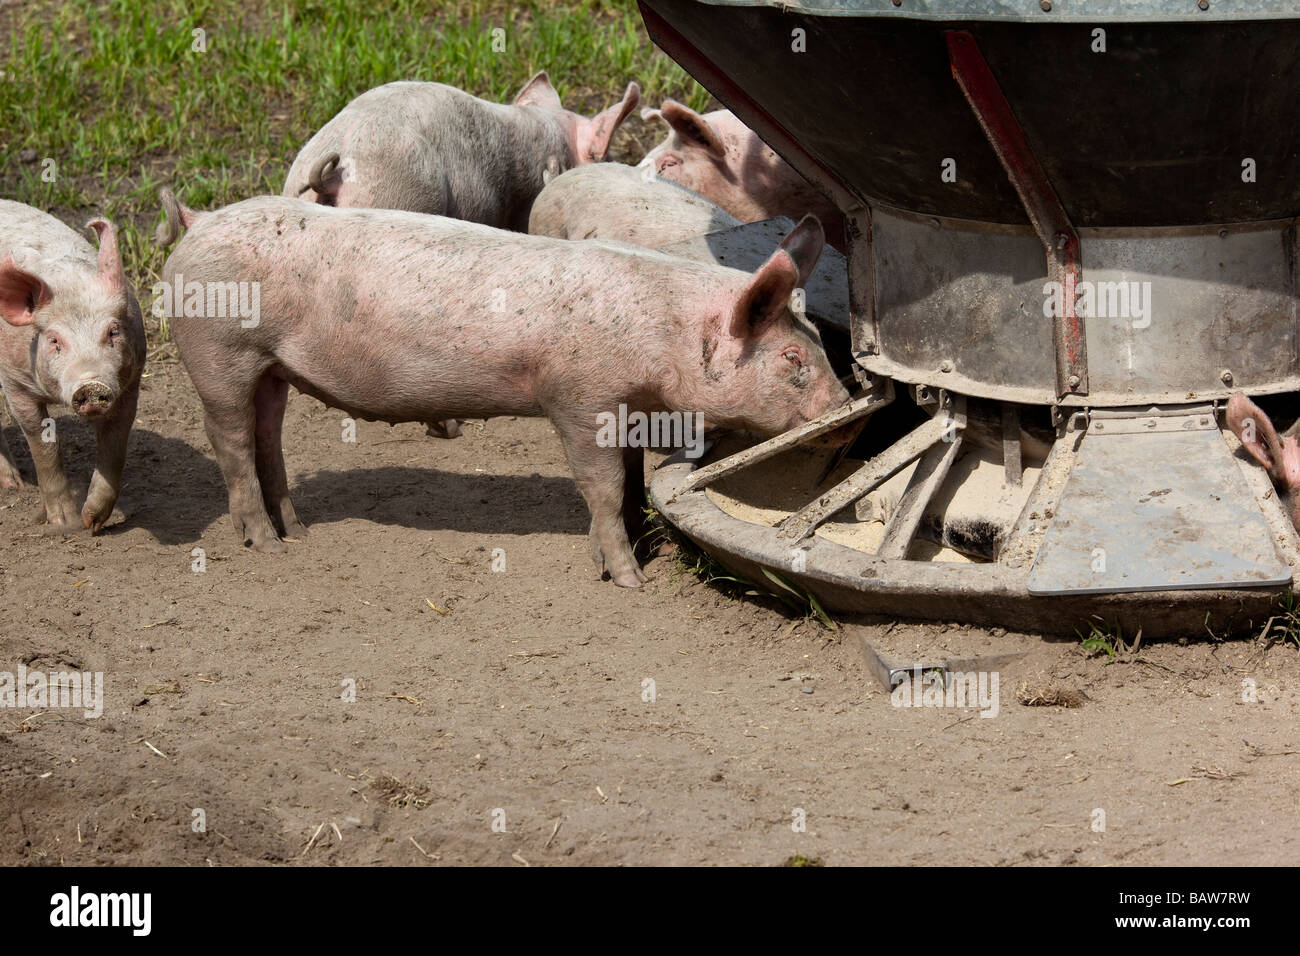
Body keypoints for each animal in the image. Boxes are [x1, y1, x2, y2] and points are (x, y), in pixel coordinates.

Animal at [0, 200, 146, 530]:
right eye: (55, 340)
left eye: (112, 332)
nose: (90, 385)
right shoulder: (15, 382)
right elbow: (43, 446)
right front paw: (64, 524)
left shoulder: (130, 383)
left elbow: (114, 448)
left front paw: (92, 522)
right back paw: (14, 485)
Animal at [157, 190, 848, 586]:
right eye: (792, 357)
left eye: (817, 334)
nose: (844, 407)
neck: (665, 336)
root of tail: (196, 223)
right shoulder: (577, 398)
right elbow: (602, 484)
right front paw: (629, 581)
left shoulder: (622, 407)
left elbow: (627, 477)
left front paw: (632, 549)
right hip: (219, 354)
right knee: (229, 440)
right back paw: (264, 545)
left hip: (273, 369)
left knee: (268, 437)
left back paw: (297, 533)